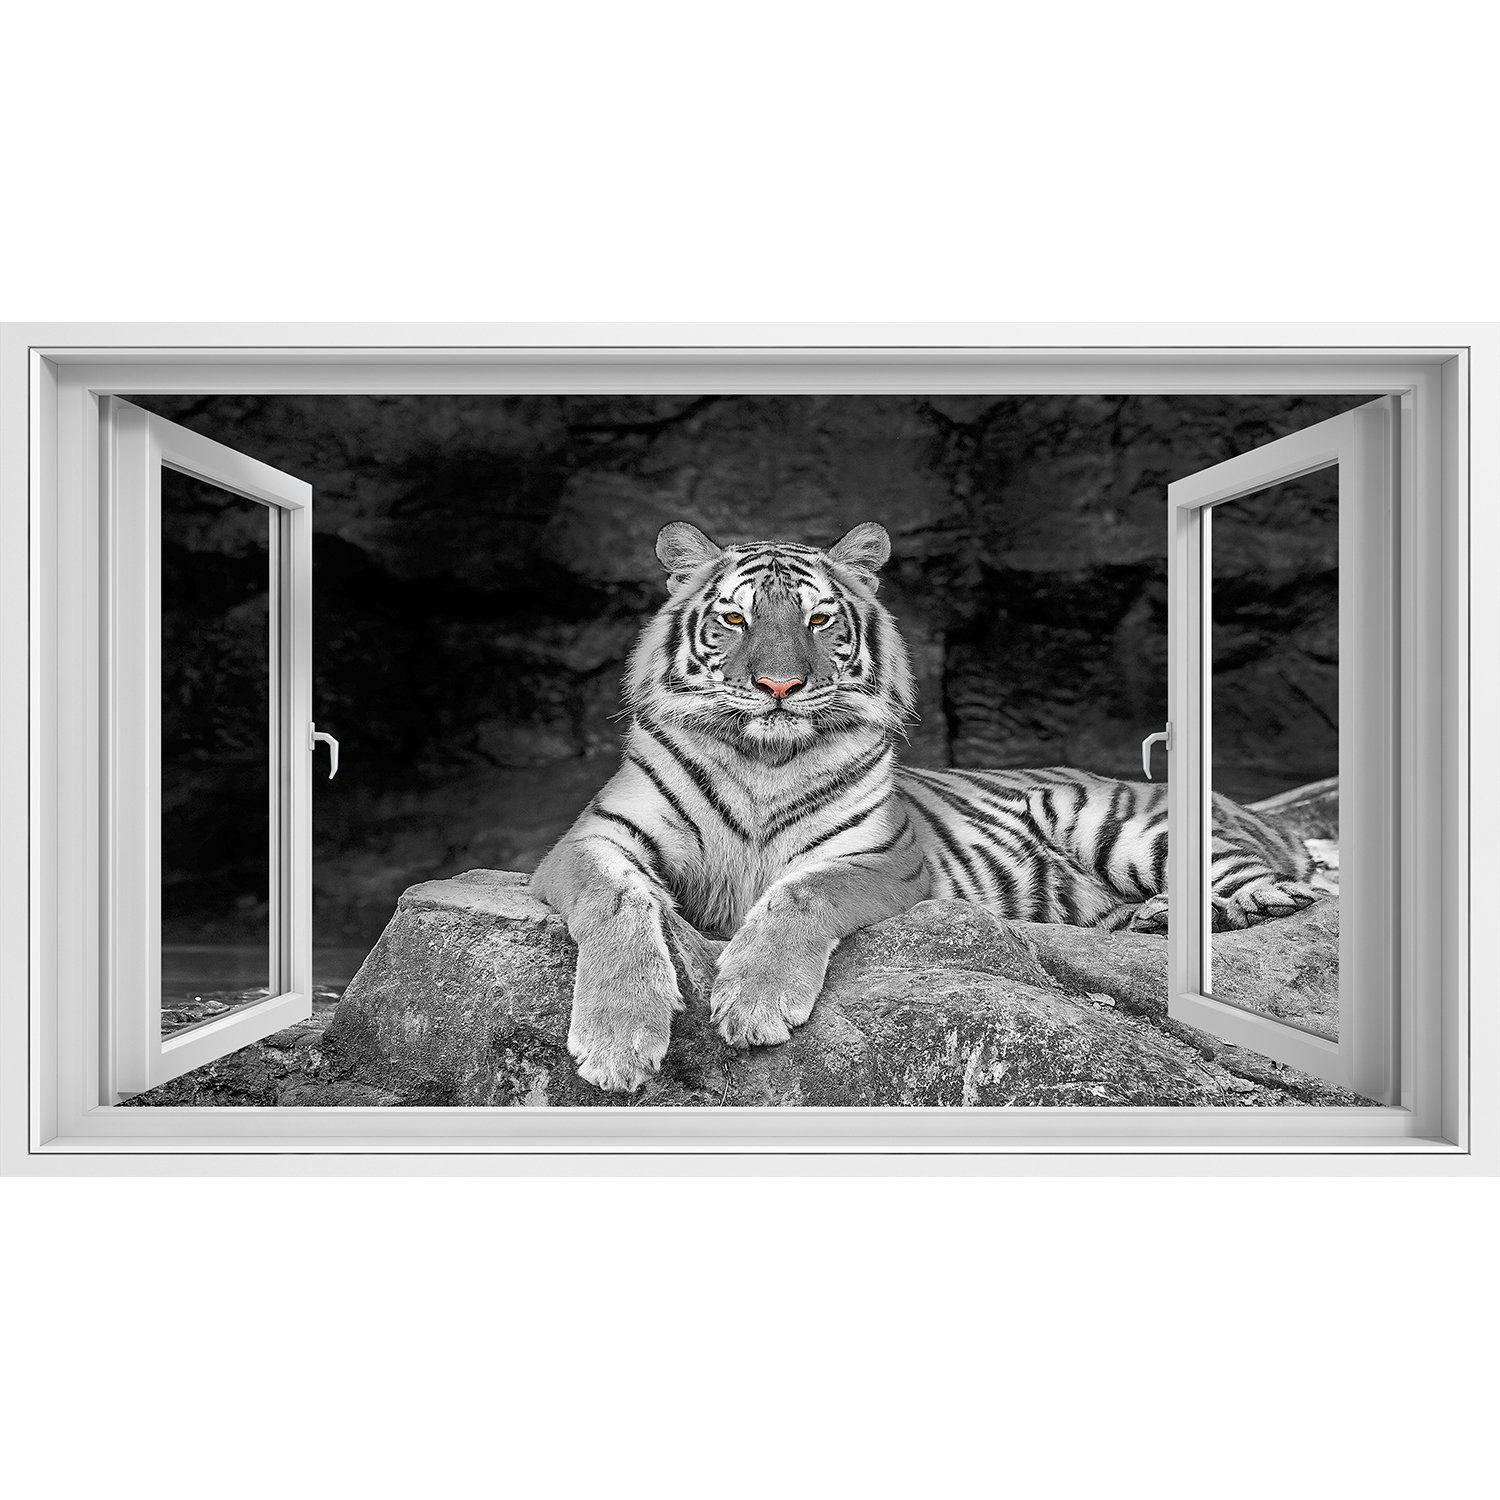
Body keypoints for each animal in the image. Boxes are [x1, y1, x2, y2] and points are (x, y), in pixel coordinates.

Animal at [532, 520, 1320, 1093]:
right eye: (734, 619)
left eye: (819, 620)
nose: (779, 687)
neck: (764, 761)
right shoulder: (590, 842)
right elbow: (616, 902)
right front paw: (617, 1040)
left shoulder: (880, 856)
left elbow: (800, 895)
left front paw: (753, 1000)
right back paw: (1151, 918)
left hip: (1121, 824)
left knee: (1276, 887)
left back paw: (1245, 904)